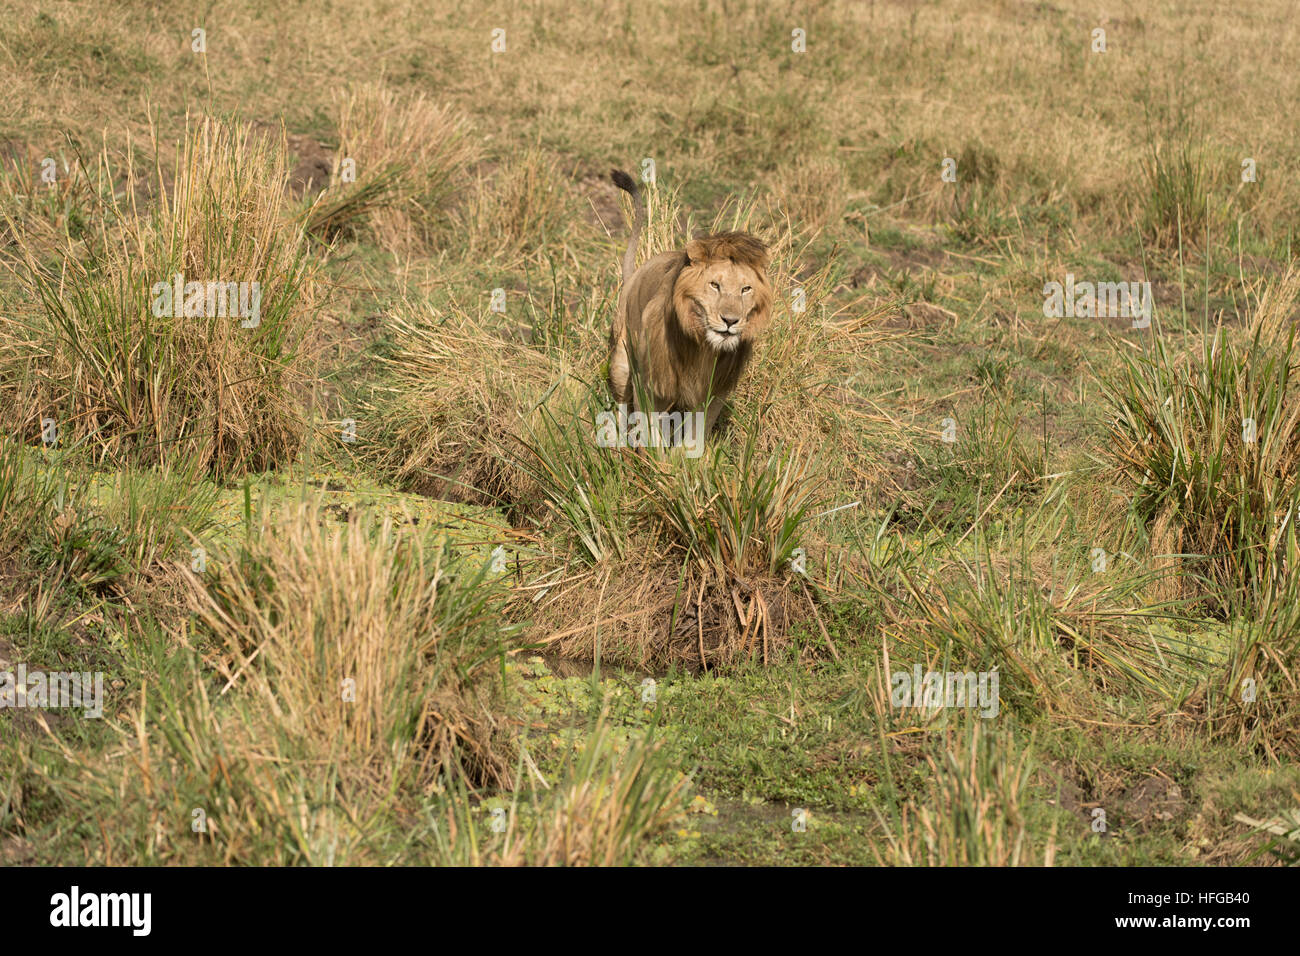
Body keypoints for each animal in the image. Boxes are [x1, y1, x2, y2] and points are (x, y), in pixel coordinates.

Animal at [607, 168, 772, 445]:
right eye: (714, 285)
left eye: (746, 289)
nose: (730, 320)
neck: (703, 345)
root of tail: (634, 275)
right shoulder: (650, 381)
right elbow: (651, 432)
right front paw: (656, 455)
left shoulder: (715, 390)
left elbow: (697, 434)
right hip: (621, 360)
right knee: (620, 403)